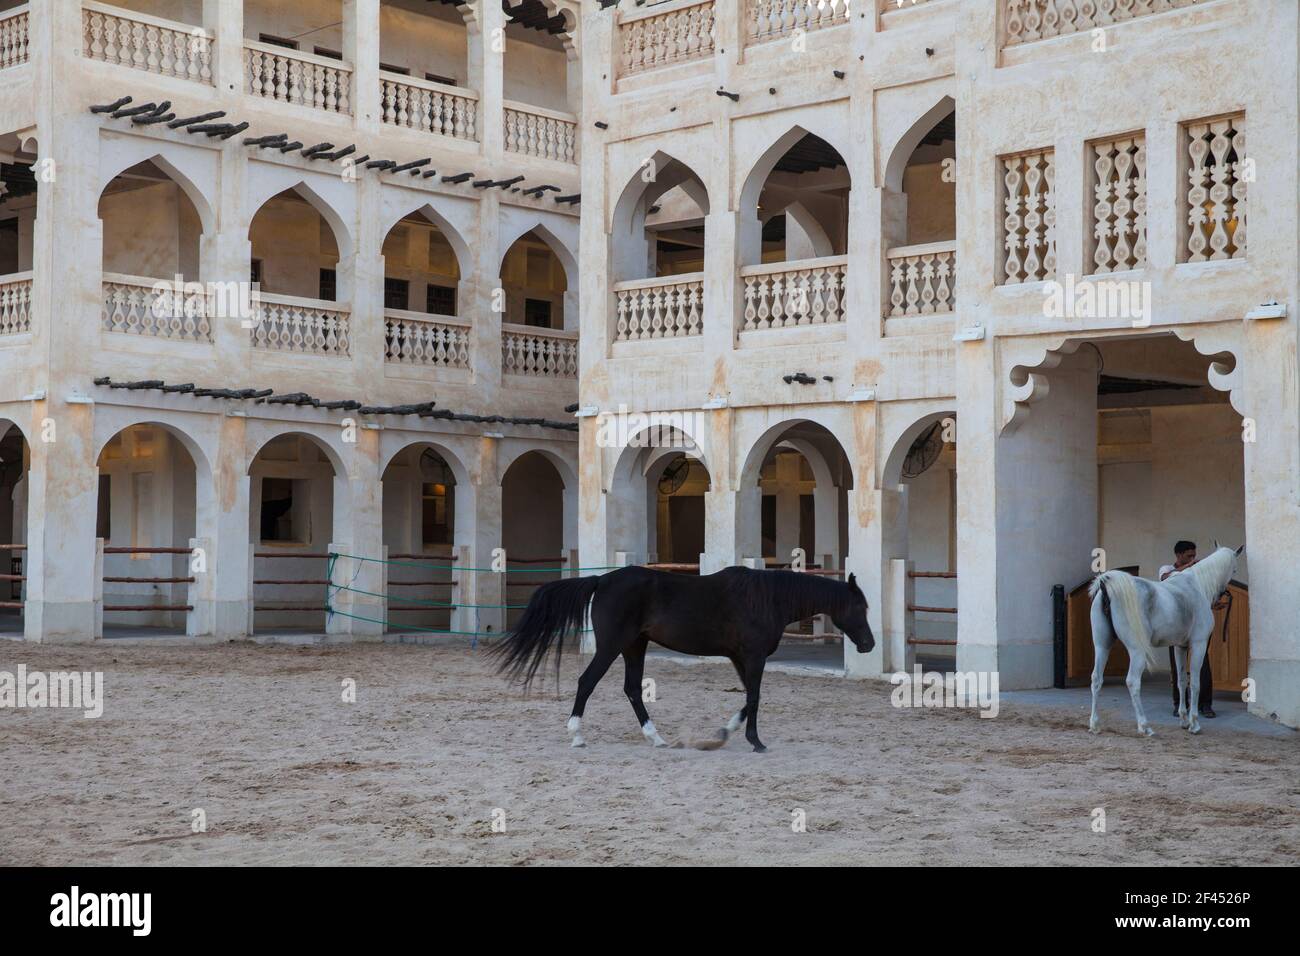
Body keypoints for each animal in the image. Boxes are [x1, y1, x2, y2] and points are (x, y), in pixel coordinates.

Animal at [492, 565, 874, 752]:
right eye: (859, 607)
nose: (869, 645)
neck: (766, 598)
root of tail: (602, 580)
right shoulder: (753, 657)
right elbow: (755, 697)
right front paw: (755, 742)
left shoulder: (740, 658)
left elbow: (748, 700)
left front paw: (723, 733)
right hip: (612, 646)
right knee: (587, 682)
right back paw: (577, 736)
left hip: (635, 646)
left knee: (633, 689)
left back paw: (657, 739)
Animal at [1088, 543, 1243, 737]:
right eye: (1234, 569)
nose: (1221, 595)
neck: (1197, 586)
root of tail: (1107, 588)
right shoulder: (1198, 645)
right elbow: (1195, 683)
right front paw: (1194, 724)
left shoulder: (1180, 647)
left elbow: (1182, 680)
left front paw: (1183, 720)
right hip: (1137, 651)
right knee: (1132, 682)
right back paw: (1145, 726)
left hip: (1102, 646)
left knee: (1096, 679)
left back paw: (1095, 724)